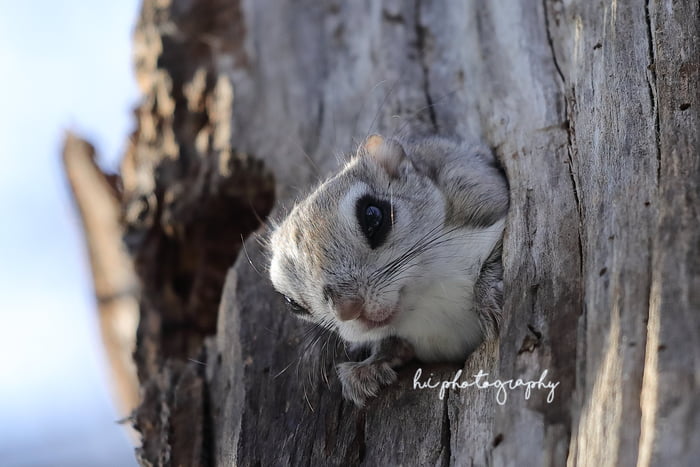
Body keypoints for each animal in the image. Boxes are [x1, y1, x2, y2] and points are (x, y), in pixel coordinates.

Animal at [269, 134, 509, 406]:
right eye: (291, 303)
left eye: (373, 215)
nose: (348, 309)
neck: (428, 301)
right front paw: (370, 367)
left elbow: (496, 253)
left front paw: (490, 297)